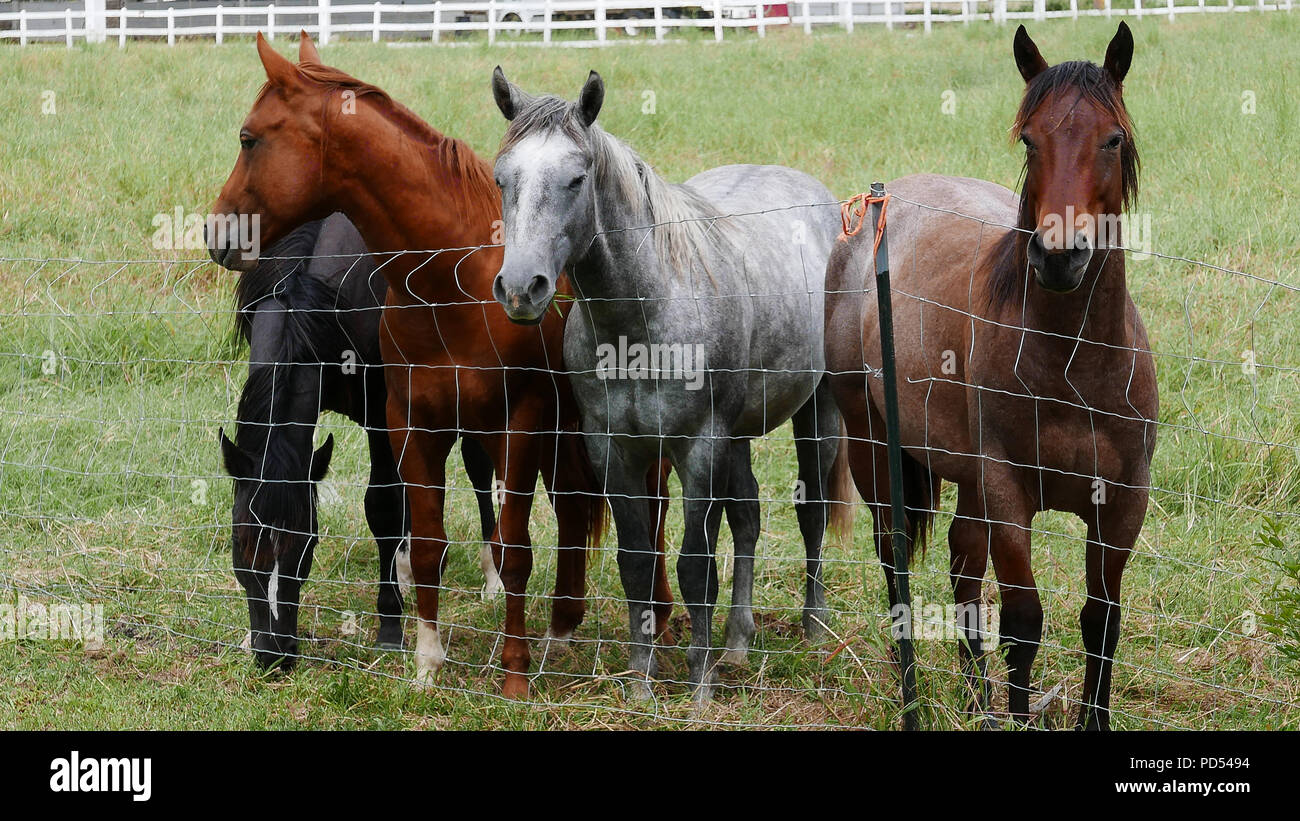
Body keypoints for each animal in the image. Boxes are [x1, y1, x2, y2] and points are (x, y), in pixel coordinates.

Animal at [218, 212, 498, 670]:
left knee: (478, 471)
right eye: (240, 541)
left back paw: (493, 575)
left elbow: (381, 506)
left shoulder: (383, 416)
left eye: (306, 543)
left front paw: (390, 627)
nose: (274, 654)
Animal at [491, 69, 853, 702]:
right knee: (748, 518)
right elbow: (638, 560)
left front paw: (699, 687)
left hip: (817, 411)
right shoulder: (614, 450)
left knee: (812, 511)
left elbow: (694, 565)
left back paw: (812, 629)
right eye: (501, 177)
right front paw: (642, 679)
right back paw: (737, 643)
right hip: (739, 436)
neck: (645, 315)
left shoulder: (699, 448)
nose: (520, 288)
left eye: (576, 178)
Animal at [824, 22, 1157, 729]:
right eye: (1030, 138)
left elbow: (1102, 621)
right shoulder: (1009, 494)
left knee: (962, 562)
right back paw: (913, 688)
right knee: (896, 554)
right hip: (873, 443)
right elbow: (1025, 623)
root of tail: (877, 206)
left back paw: (975, 695)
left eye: (1112, 139)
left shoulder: (1123, 503)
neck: (1075, 364)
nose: (1059, 257)